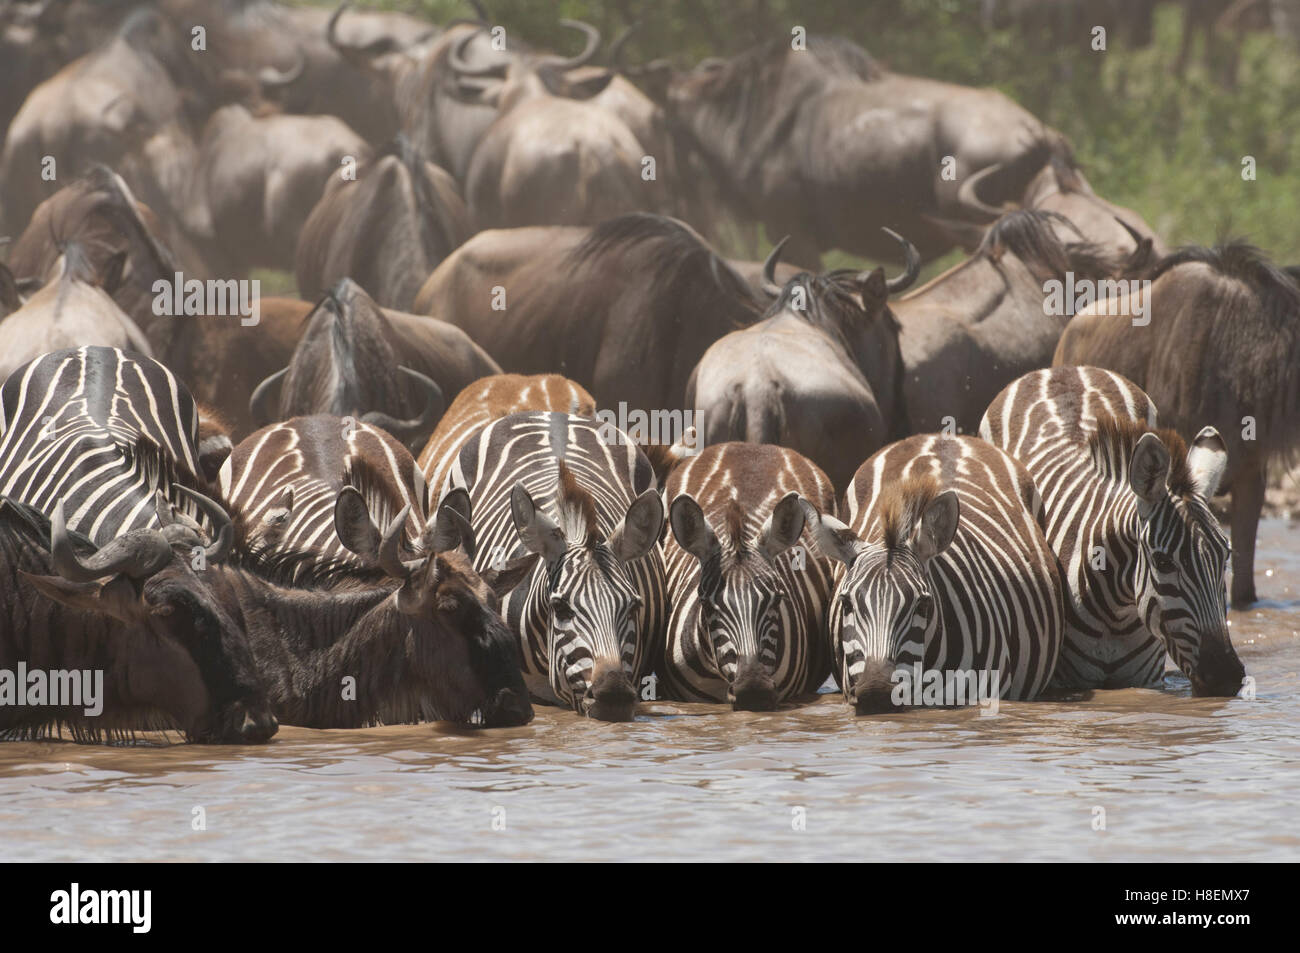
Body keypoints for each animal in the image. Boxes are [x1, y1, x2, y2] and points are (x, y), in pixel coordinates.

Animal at [979, 366, 1245, 696]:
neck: (1116, 614)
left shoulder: (1145, 679)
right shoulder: (1063, 685)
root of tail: (1067, 369)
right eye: (1163, 562)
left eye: (1226, 556)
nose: (1227, 676)